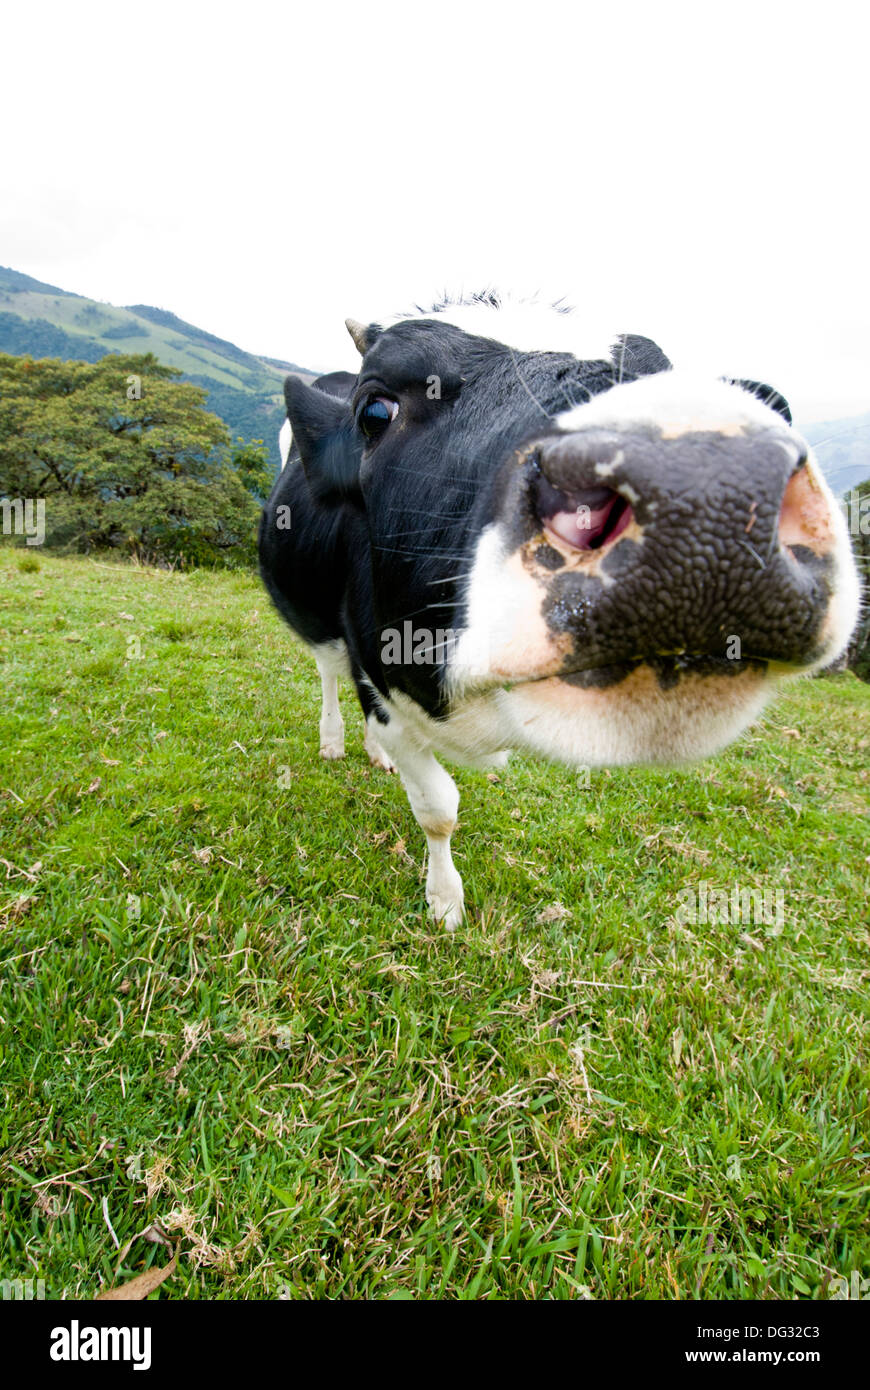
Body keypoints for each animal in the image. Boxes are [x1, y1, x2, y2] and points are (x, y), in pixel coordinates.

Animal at [258, 293, 860, 929]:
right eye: (375, 411)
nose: (704, 482)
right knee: (328, 668)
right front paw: (445, 902)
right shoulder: (379, 668)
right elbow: (437, 806)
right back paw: (335, 738)